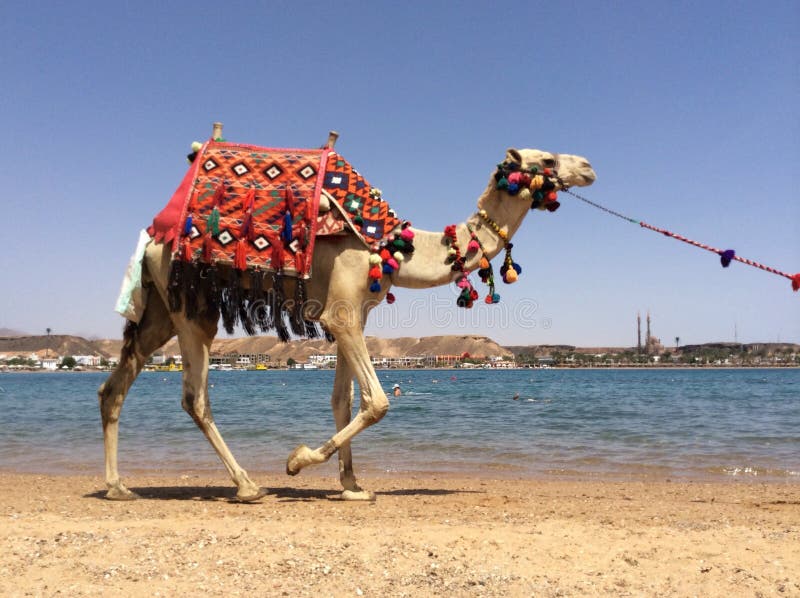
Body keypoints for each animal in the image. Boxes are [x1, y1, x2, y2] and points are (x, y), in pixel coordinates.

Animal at [98, 137, 596, 501]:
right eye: (547, 158)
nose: (589, 166)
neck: (394, 246)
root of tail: (155, 232)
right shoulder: (342, 314)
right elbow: (376, 402)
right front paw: (297, 461)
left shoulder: (353, 315)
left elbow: (342, 400)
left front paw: (352, 485)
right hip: (191, 306)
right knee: (195, 398)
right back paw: (246, 485)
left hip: (162, 307)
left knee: (115, 385)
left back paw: (118, 486)